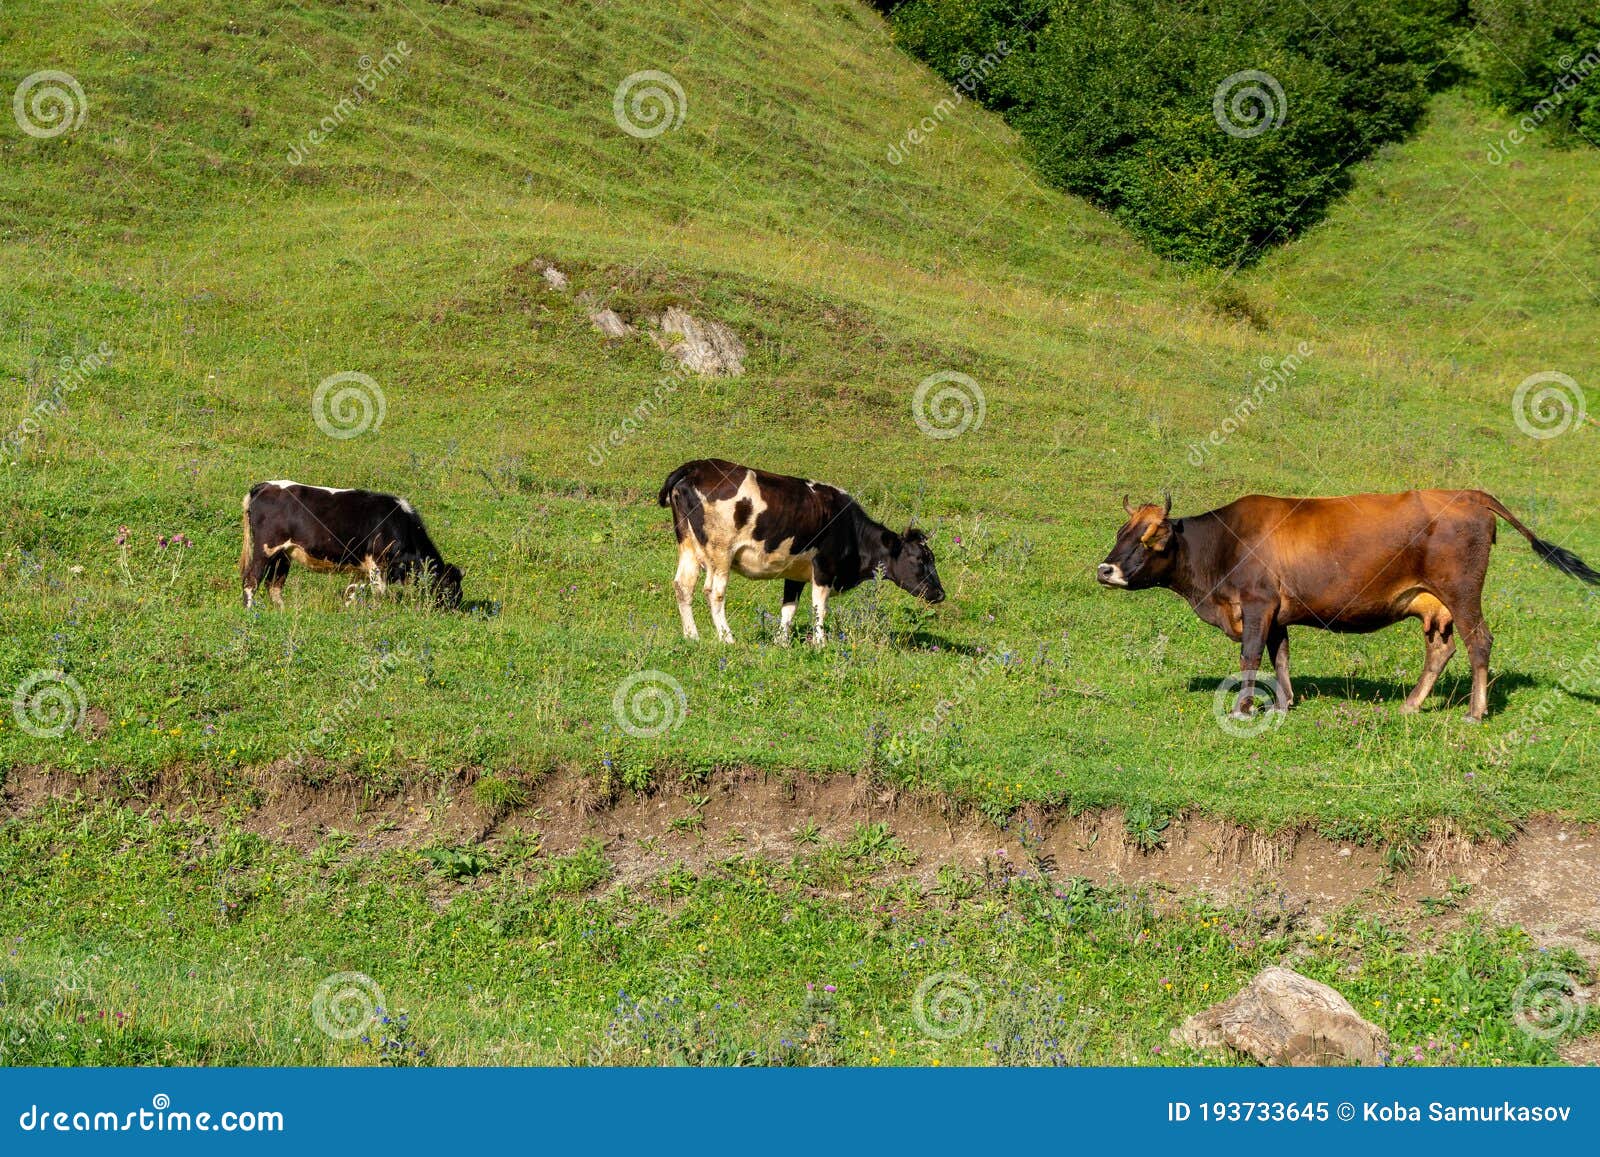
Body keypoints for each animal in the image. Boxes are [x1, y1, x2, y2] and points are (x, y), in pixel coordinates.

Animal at [240, 481, 463, 610]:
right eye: (449, 586)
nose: (454, 608)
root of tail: (264, 485)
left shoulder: (364, 567)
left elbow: (355, 589)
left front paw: (348, 607)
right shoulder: (378, 564)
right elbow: (379, 592)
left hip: (284, 554)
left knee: (274, 584)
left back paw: (283, 611)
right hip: (265, 548)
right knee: (252, 579)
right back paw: (250, 610)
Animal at [657, 459, 944, 644]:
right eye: (920, 558)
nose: (940, 593)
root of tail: (695, 466)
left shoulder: (794, 573)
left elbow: (789, 608)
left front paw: (781, 642)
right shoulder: (824, 568)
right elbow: (820, 608)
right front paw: (820, 643)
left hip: (688, 545)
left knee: (683, 586)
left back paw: (692, 636)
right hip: (720, 552)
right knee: (713, 592)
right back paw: (727, 638)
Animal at [1097, 490, 1600, 722]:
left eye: (1148, 539)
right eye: (1121, 533)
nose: (1105, 569)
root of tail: (1467, 493)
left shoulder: (1257, 603)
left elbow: (1251, 656)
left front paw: (1243, 708)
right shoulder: (1278, 612)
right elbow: (1281, 657)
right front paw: (1284, 703)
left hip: (1462, 592)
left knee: (1480, 641)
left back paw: (1475, 712)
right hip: (1435, 604)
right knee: (1441, 649)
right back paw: (1411, 705)